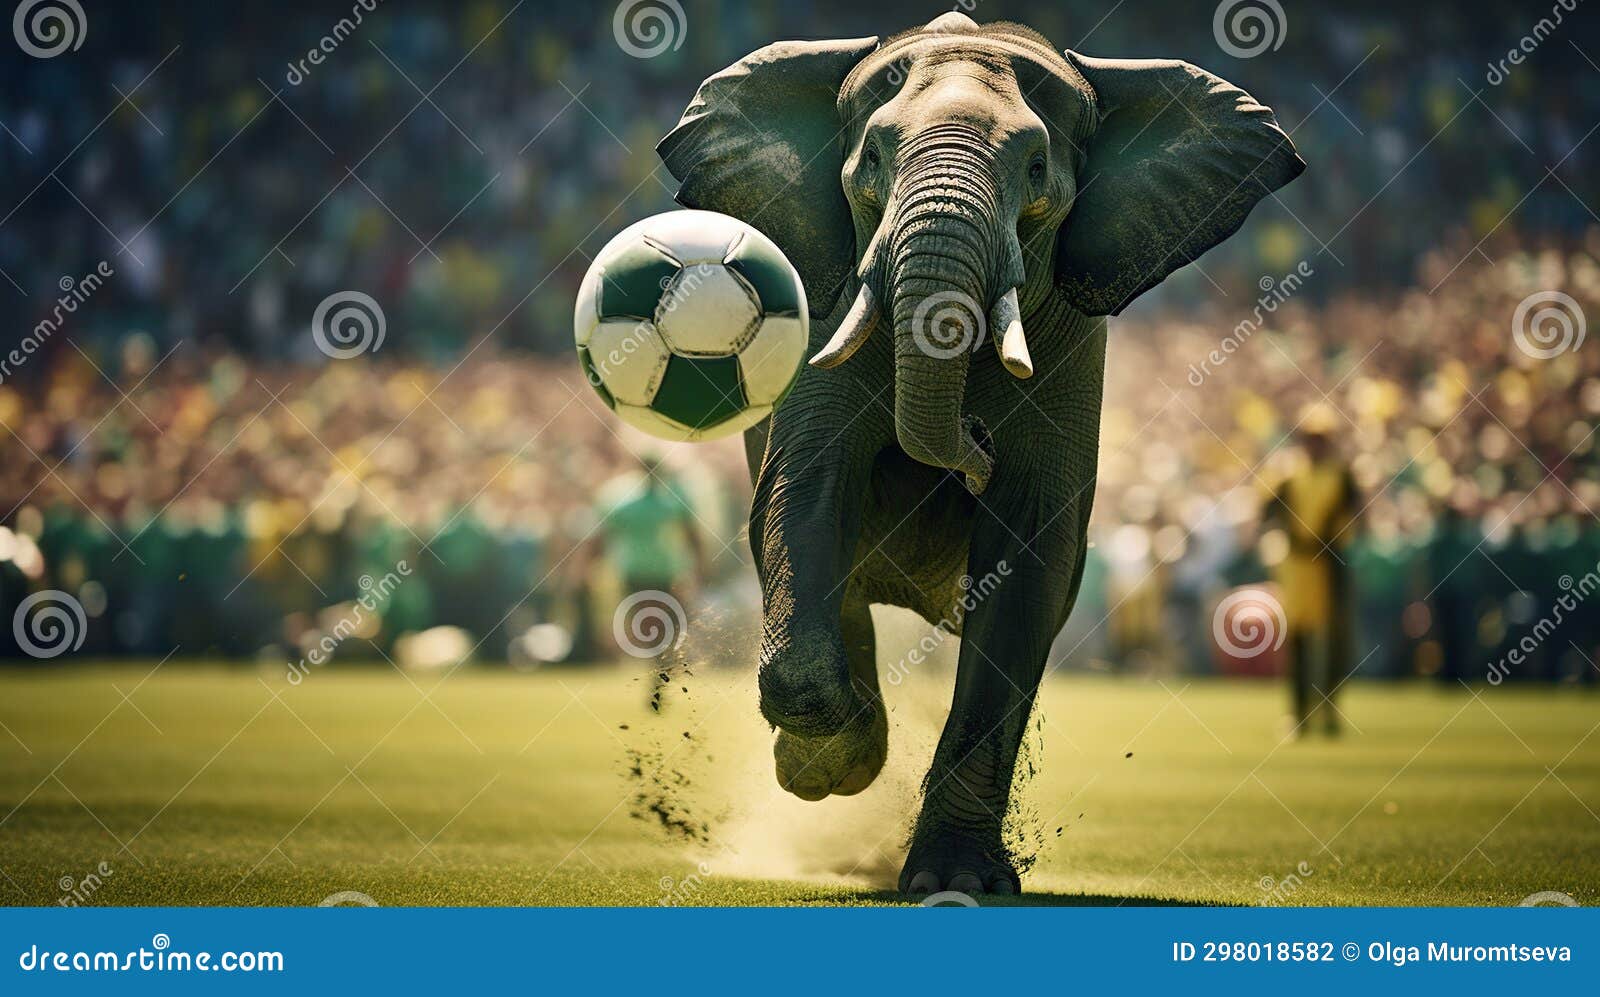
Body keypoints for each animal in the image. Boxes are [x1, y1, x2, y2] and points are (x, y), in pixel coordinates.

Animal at [656, 12, 1304, 894]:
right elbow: (805, 488)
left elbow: (1028, 554)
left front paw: (955, 881)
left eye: (1035, 168)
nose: (974, 448)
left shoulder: (1069, 344)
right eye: (873, 160)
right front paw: (833, 755)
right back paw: (839, 761)